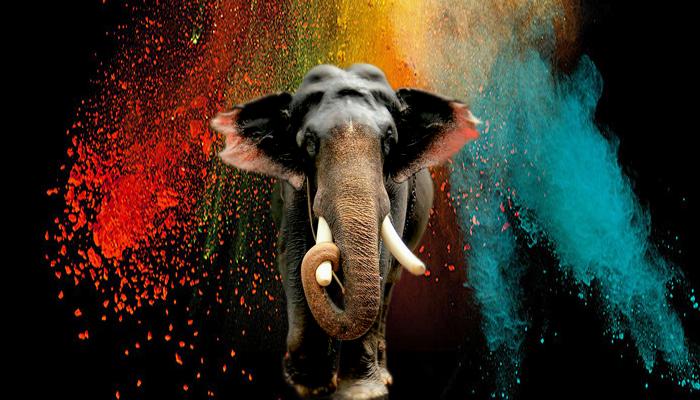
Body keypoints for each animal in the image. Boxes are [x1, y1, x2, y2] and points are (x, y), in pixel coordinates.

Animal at [211, 64, 479, 399]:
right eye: (309, 141)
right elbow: (294, 254)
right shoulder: (294, 186)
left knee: (387, 287)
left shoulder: (396, 187)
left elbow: (379, 259)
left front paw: (360, 393)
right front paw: (311, 384)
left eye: (389, 140)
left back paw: (383, 375)